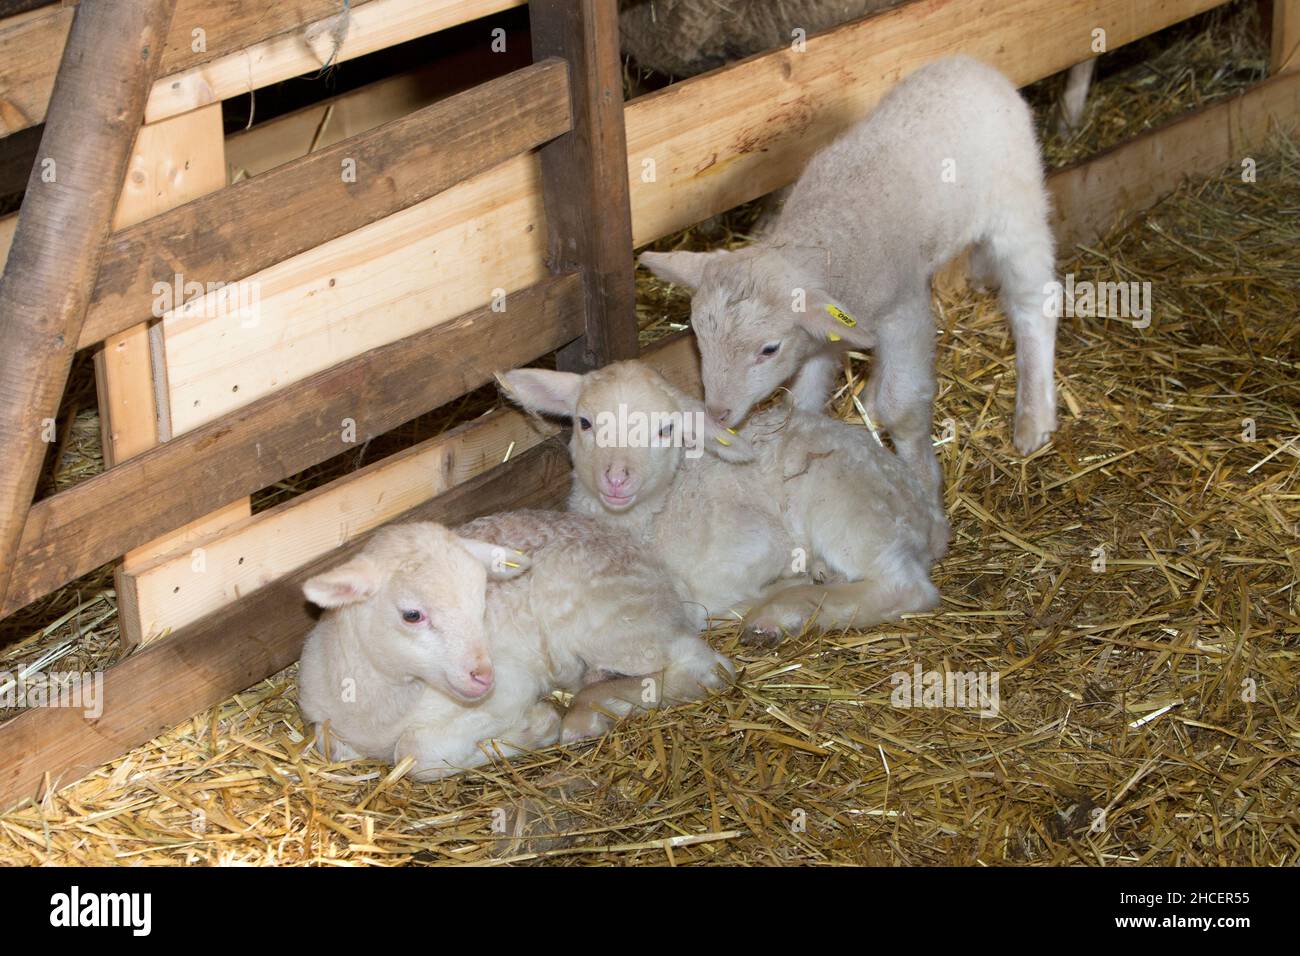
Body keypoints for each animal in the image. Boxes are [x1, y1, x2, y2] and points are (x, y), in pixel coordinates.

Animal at [297, 515, 732, 781]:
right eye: (412, 615)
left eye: (481, 602)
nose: (482, 676)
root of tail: (666, 578)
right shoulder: (324, 719)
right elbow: (328, 743)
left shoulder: (511, 689)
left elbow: (417, 753)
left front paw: (535, 727)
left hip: (613, 623)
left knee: (703, 666)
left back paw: (584, 717)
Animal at [501, 361, 947, 645]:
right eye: (585, 422)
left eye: (666, 430)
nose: (616, 478)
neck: (656, 518)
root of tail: (928, 515)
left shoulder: (756, 543)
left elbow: (704, 603)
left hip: (846, 509)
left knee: (904, 588)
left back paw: (777, 614)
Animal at [640, 56, 1059, 508]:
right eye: (698, 339)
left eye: (769, 349)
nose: (717, 413)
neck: (827, 243)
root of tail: (972, 63)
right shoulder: (826, 330)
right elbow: (805, 403)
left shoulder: (905, 314)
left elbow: (902, 406)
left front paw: (923, 482)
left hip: (1015, 203)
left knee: (1034, 301)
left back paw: (1034, 416)